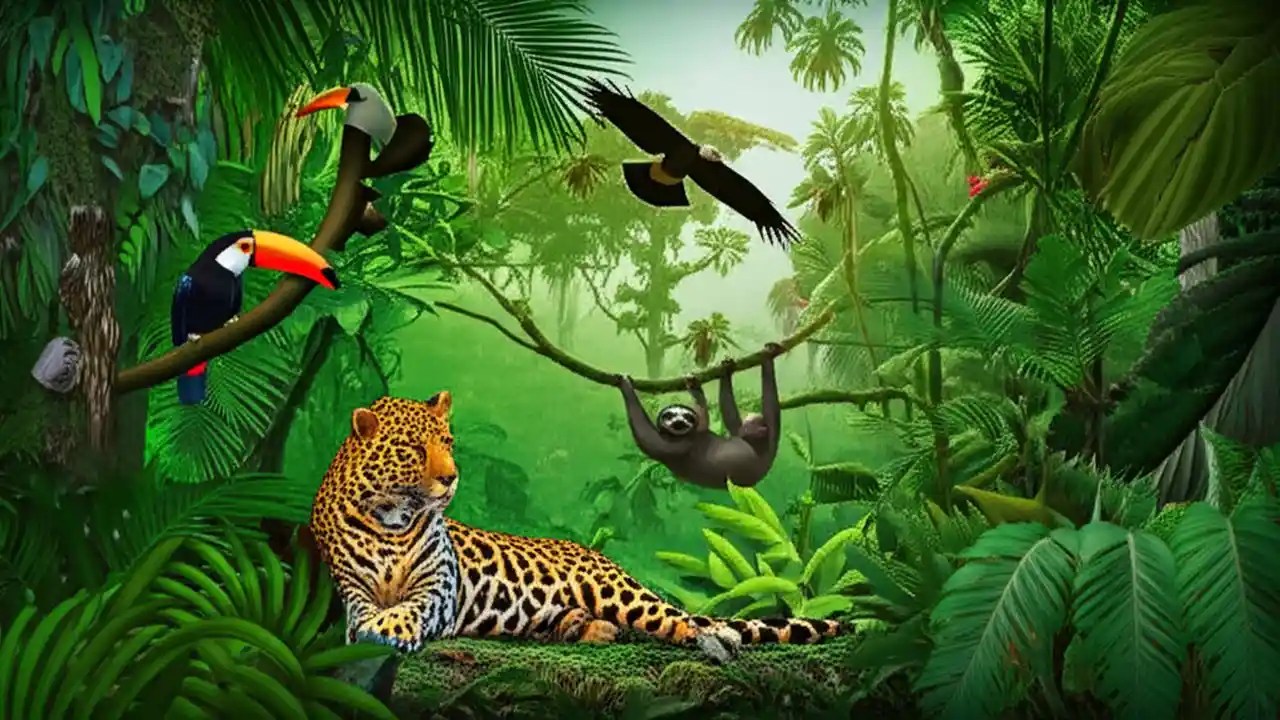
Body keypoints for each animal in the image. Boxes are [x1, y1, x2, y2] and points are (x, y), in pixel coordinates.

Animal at [308, 392, 843, 662]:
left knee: (688, 621)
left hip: (620, 593)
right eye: (414, 449)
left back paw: (717, 641)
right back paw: (590, 630)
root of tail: (596, 553)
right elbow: (364, 614)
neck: (391, 519)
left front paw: (392, 627)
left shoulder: (438, 588)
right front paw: (376, 627)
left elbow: (412, 606)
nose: (451, 477)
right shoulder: (352, 589)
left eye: (449, 443)